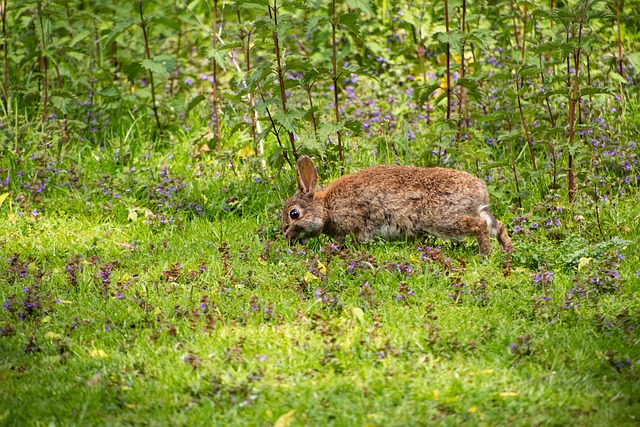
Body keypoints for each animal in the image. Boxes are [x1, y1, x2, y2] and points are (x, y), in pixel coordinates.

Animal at [282, 155, 513, 256]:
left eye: (294, 214)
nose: (287, 237)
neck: (326, 209)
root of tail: (480, 190)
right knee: (497, 225)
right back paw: (508, 250)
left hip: (442, 218)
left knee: (479, 226)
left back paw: (484, 255)